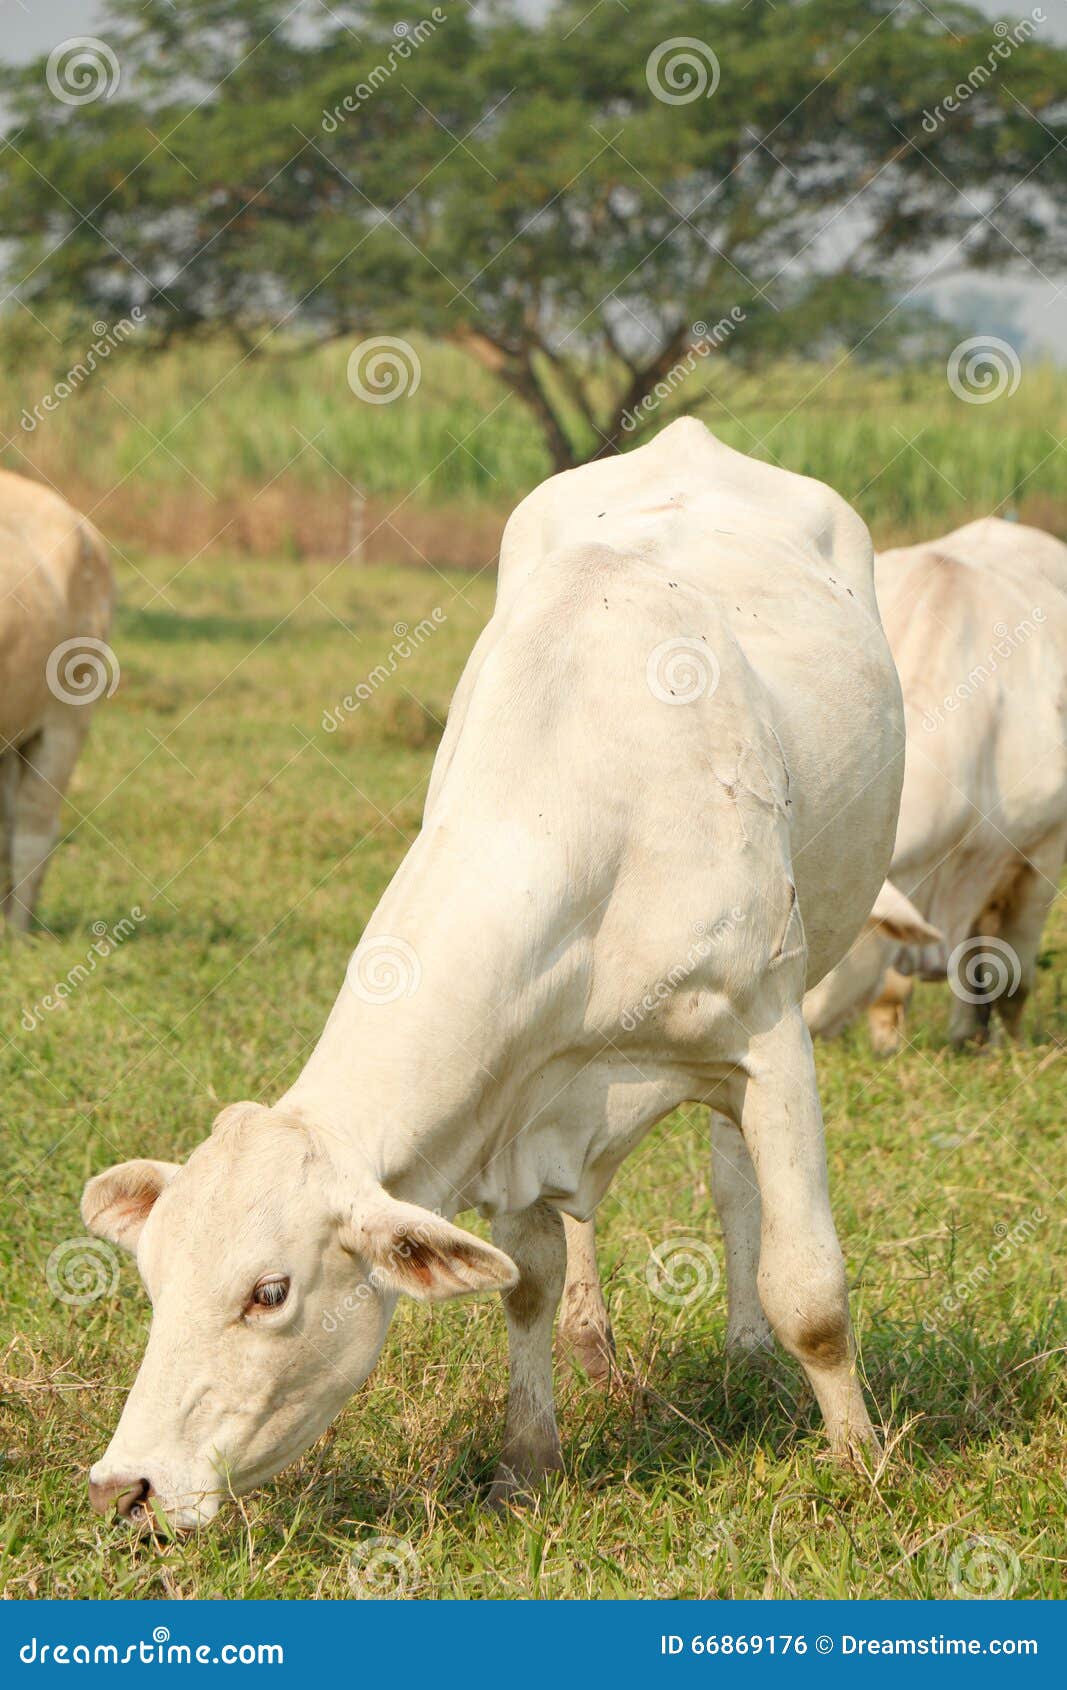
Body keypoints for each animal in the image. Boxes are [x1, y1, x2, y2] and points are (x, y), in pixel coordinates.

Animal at [82, 419, 903, 1530]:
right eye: (155, 1279)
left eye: (269, 1291)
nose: (125, 1484)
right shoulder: (516, 1088)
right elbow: (528, 1277)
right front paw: (527, 1459)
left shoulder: (769, 1038)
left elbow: (808, 1289)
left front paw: (861, 1461)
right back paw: (600, 1349)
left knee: (737, 1182)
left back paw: (744, 1349)